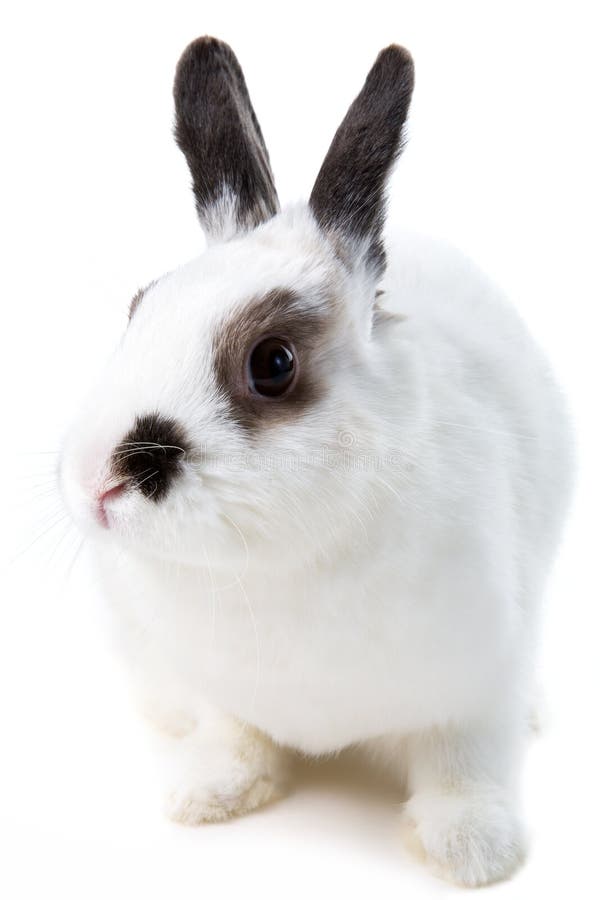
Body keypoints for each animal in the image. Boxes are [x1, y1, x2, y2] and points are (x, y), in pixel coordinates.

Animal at [60, 36, 573, 886]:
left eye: (273, 364)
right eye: (139, 308)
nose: (99, 480)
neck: (275, 570)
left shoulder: (479, 685)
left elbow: (464, 764)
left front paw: (472, 851)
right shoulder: (221, 689)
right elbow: (233, 733)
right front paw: (208, 793)